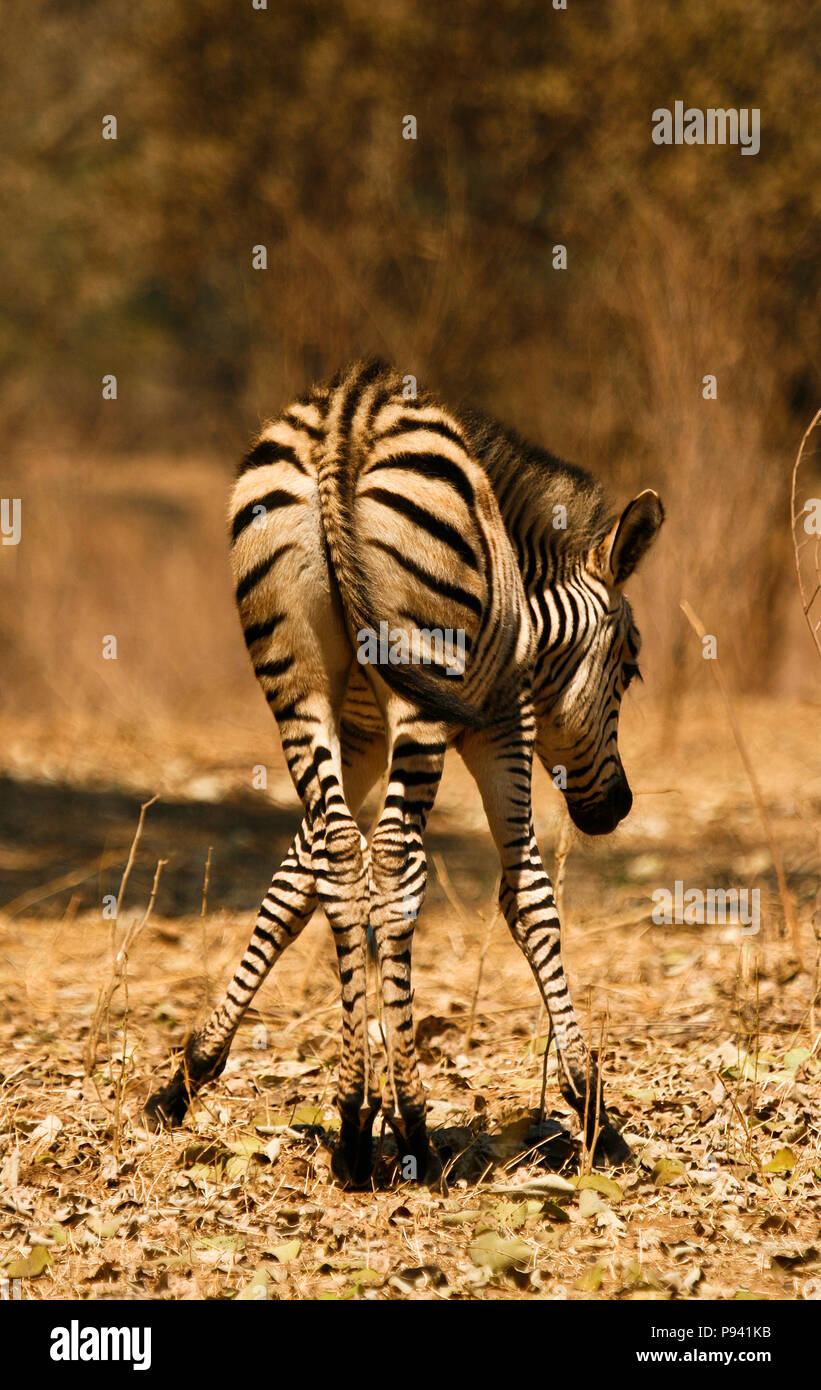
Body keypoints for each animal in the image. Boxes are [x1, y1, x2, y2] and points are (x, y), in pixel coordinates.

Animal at [145, 359, 664, 1188]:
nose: (614, 808)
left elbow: (294, 883)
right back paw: (412, 1126)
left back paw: (355, 1131)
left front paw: (189, 1077)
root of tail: (344, 424)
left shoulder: (356, 733)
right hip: (423, 682)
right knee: (390, 860)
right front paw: (595, 1117)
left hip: (294, 679)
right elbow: (526, 896)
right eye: (632, 669)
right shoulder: (501, 723)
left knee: (341, 858)